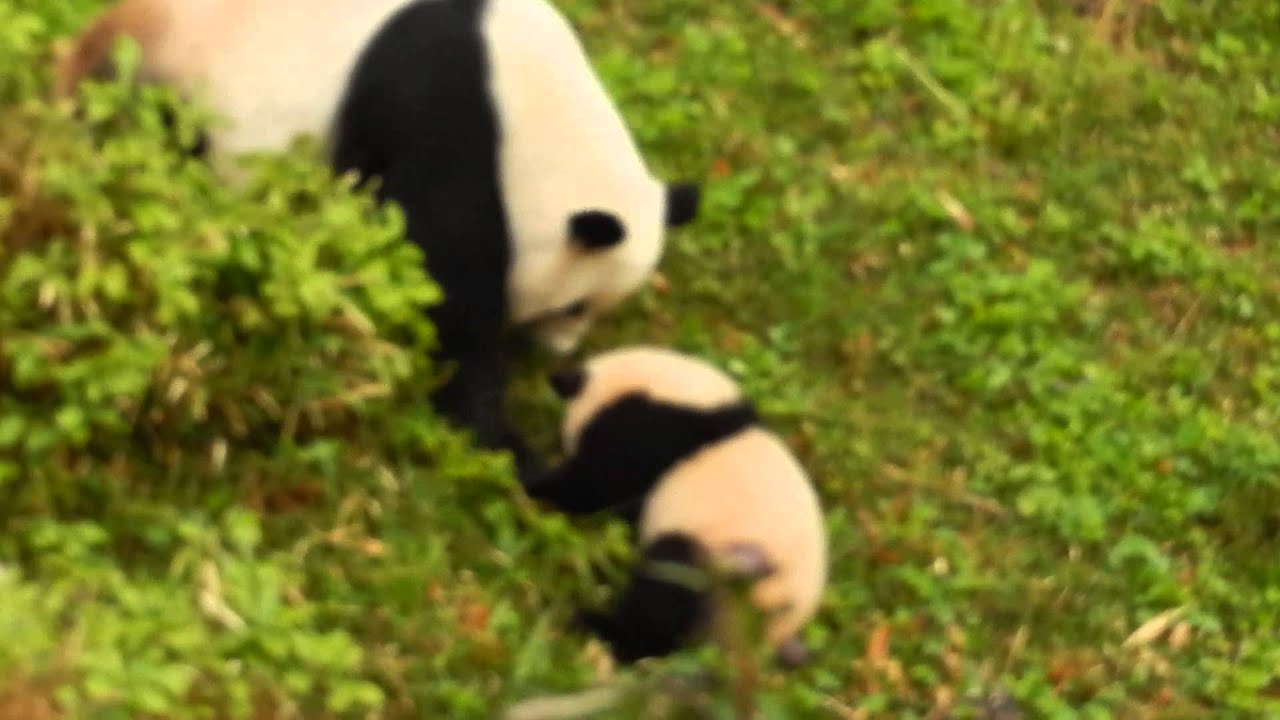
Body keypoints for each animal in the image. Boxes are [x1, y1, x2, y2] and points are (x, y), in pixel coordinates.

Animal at [54, 0, 702, 478]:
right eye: (574, 305)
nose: (559, 351)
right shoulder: (446, 119)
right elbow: (442, 285)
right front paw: (505, 444)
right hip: (165, 90)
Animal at [523, 346, 827, 666]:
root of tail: (772, 635)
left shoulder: (649, 428)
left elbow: (597, 482)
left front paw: (531, 479)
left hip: (727, 565)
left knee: (669, 584)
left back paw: (601, 629)